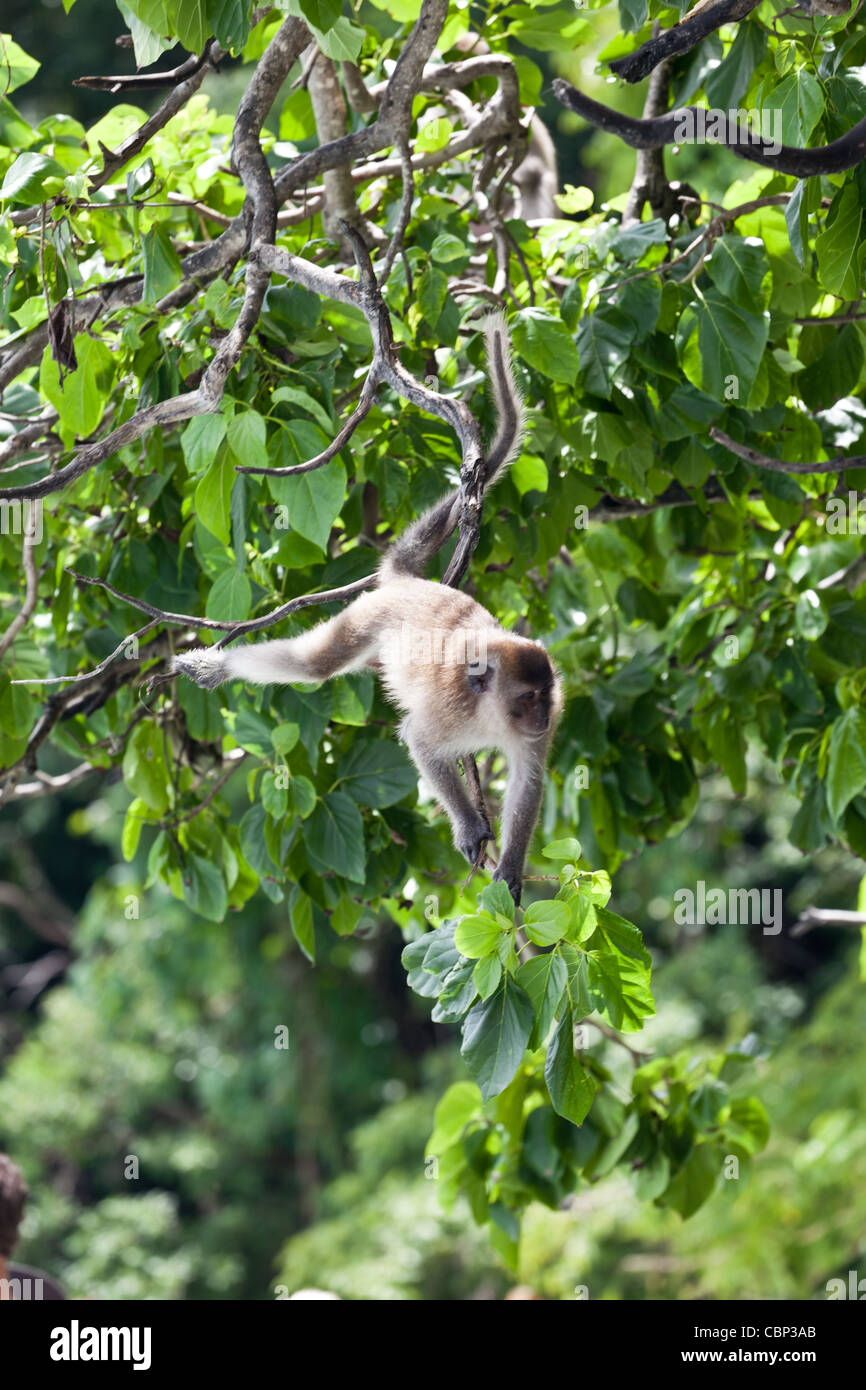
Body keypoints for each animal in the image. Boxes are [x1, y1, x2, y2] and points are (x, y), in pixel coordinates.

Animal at [173, 314, 563, 905]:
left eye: (546, 697)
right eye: (528, 698)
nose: (543, 718)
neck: (491, 711)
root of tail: (408, 584)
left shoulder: (528, 739)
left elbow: (528, 783)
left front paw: (511, 873)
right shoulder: (450, 713)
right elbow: (419, 742)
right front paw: (470, 827)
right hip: (368, 617)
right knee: (316, 665)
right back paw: (216, 668)